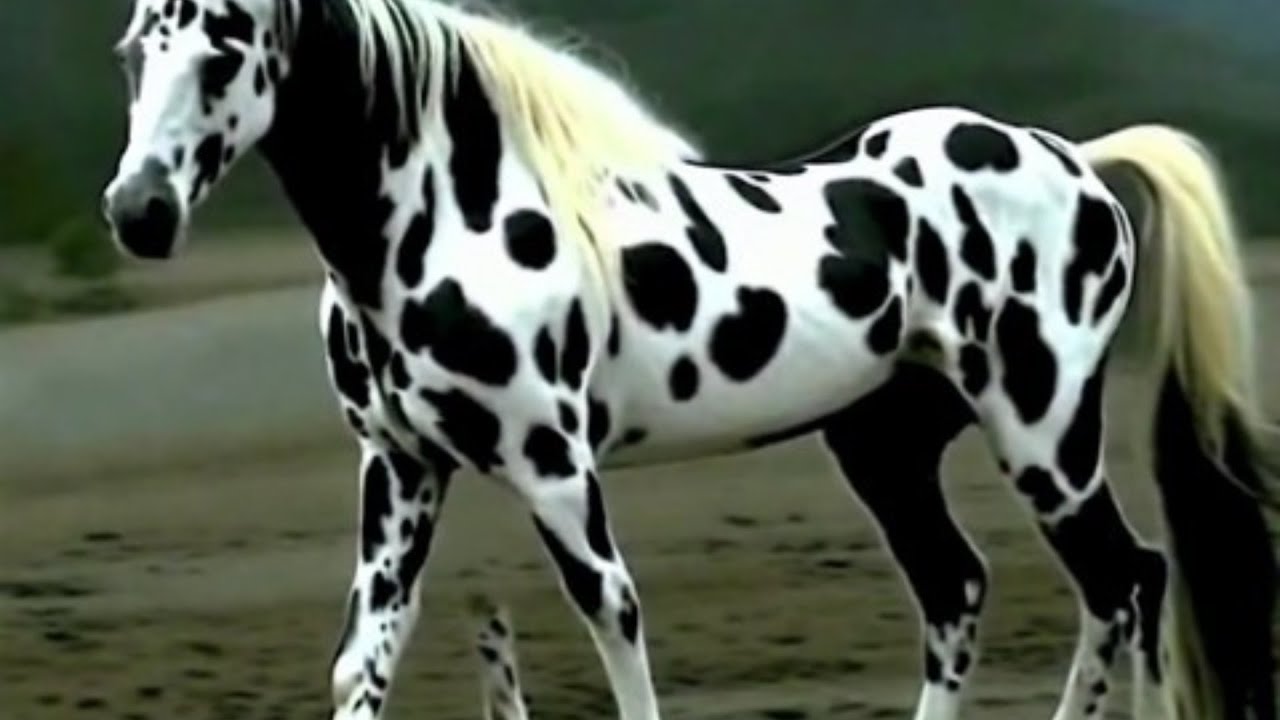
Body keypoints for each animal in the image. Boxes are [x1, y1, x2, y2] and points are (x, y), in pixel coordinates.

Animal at [100, 0, 1276, 719]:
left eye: (220, 53)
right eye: (133, 54)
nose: (137, 214)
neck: (449, 216)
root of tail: (1078, 161)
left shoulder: (553, 468)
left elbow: (614, 622)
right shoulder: (399, 471)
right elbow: (365, 659)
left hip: (1044, 435)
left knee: (1126, 583)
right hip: (887, 447)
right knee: (961, 592)